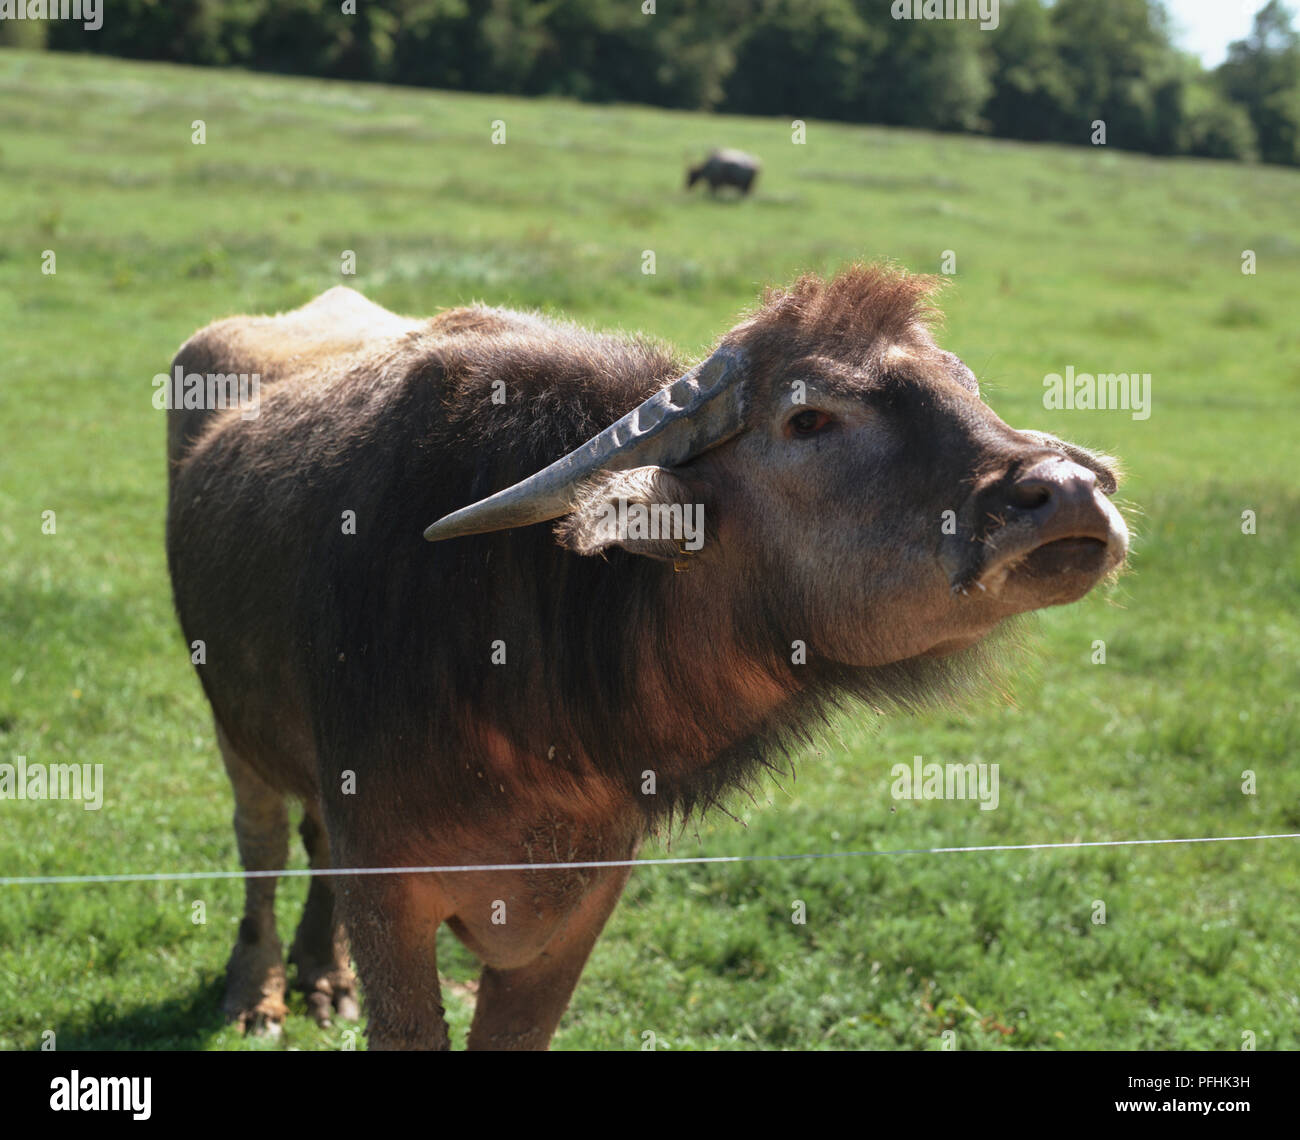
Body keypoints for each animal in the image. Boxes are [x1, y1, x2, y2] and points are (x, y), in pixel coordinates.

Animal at [165, 265, 1128, 1049]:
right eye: (808, 417)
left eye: (967, 387)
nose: (1071, 490)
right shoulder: (388, 892)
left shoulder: (584, 900)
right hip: (232, 727)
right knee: (263, 842)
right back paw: (257, 991)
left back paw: (322, 977)